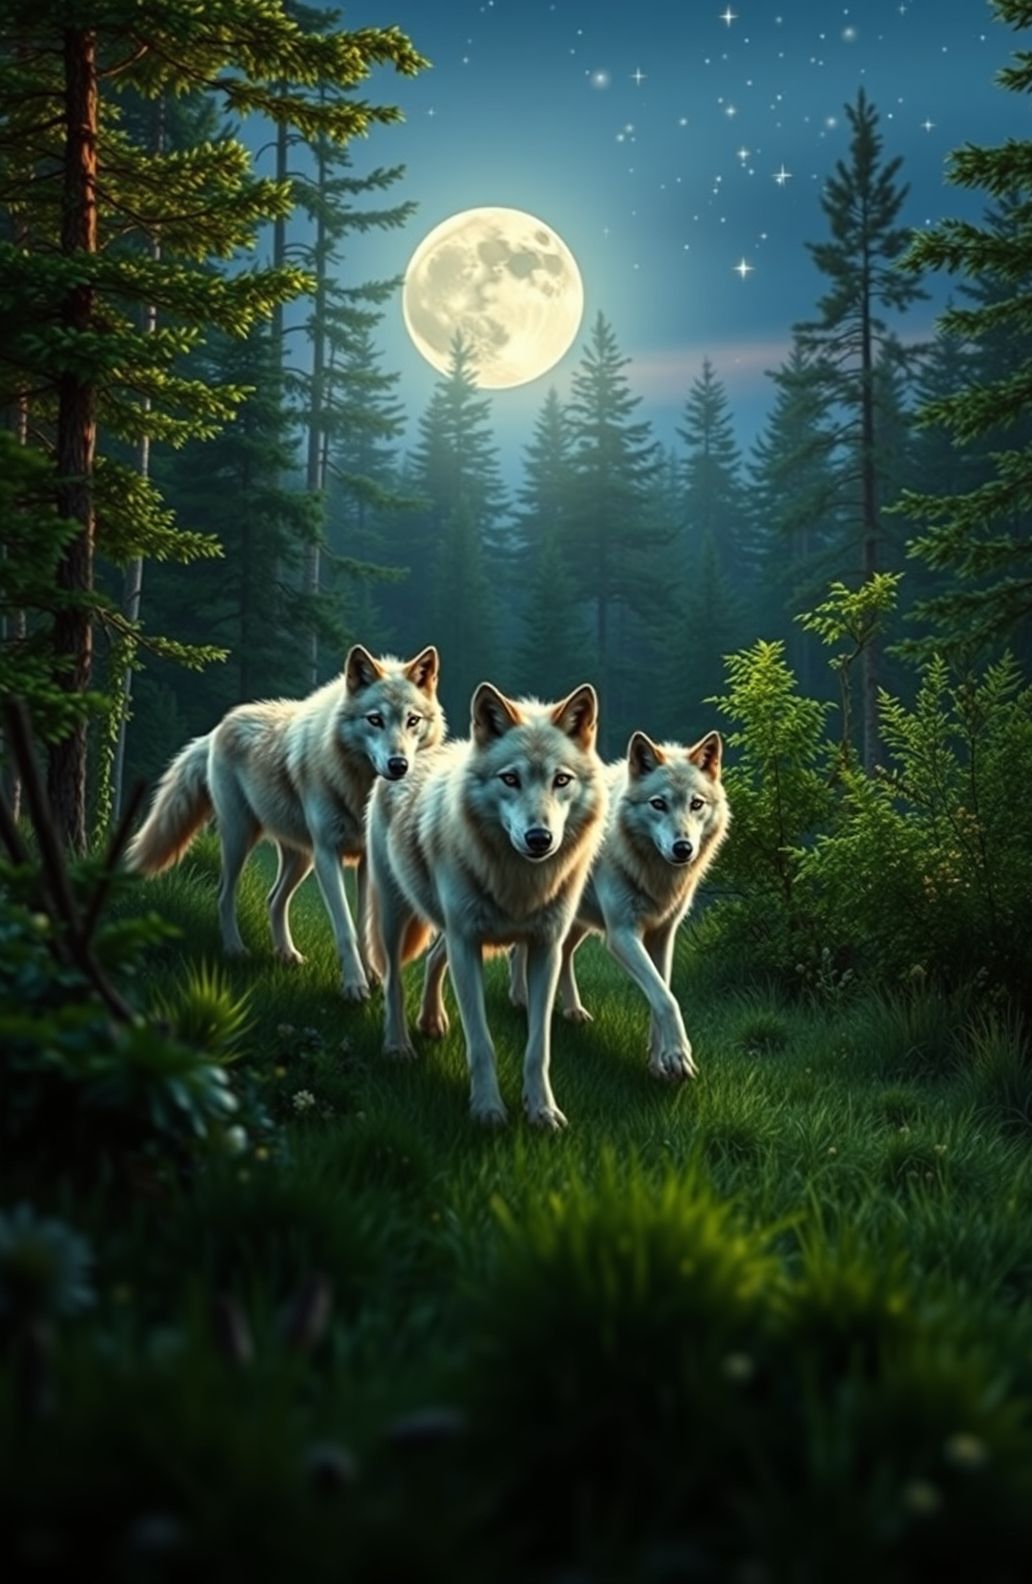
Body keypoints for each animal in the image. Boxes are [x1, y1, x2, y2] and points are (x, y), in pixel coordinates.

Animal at [128, 645, 445, 999]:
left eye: (412, 720)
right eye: (375, 720)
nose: (398, 764)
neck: (360, 789)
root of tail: (217, 728)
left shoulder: (366, 861)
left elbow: (364, 926)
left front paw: (374, 978)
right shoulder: (327, 854)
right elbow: (345, 927)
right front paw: (354, 985)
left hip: (300, 858)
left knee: (273, 899)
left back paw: (286, 954)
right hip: (241, 839)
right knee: (224, 893)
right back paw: (234, 949)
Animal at [364, 681, 608, 1128]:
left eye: (560, 780)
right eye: (510, 778)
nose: (539, 838)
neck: (519, 883)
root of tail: (411, 758)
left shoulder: (545, 948)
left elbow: (538, 1047)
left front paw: (542, 1110)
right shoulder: (467, 944)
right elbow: (481, 1042)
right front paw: (488, 1109)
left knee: (432, 959)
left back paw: (431, 1021)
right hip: (394, 914)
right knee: (392, 979)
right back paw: (398, 1044)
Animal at [510, 729, 730, 1080]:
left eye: (696, 804)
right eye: (658, 804)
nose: (683, 848)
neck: (652, 872)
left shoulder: (662, 936)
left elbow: (660, 992)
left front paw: (659, 1062)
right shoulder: (623, 934)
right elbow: (667, 999)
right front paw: (678, 1056)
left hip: (576, 923)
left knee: (559, 954)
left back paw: (571, 1010)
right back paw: (520, 999)